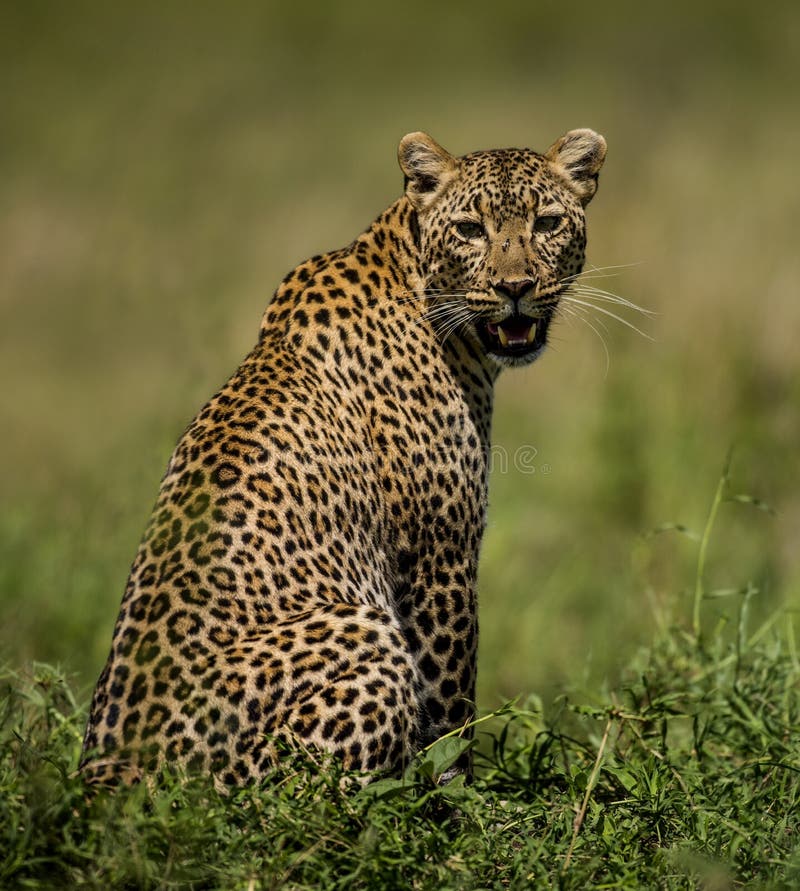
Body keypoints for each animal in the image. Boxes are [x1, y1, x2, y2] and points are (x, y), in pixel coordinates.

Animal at [80, 128, 607, 786]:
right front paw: (454, 789)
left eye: (547, 222)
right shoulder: (439, 555)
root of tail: (112, 775)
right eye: (470, 229)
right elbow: (450, 697)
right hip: (363, 634)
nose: (515, 289)